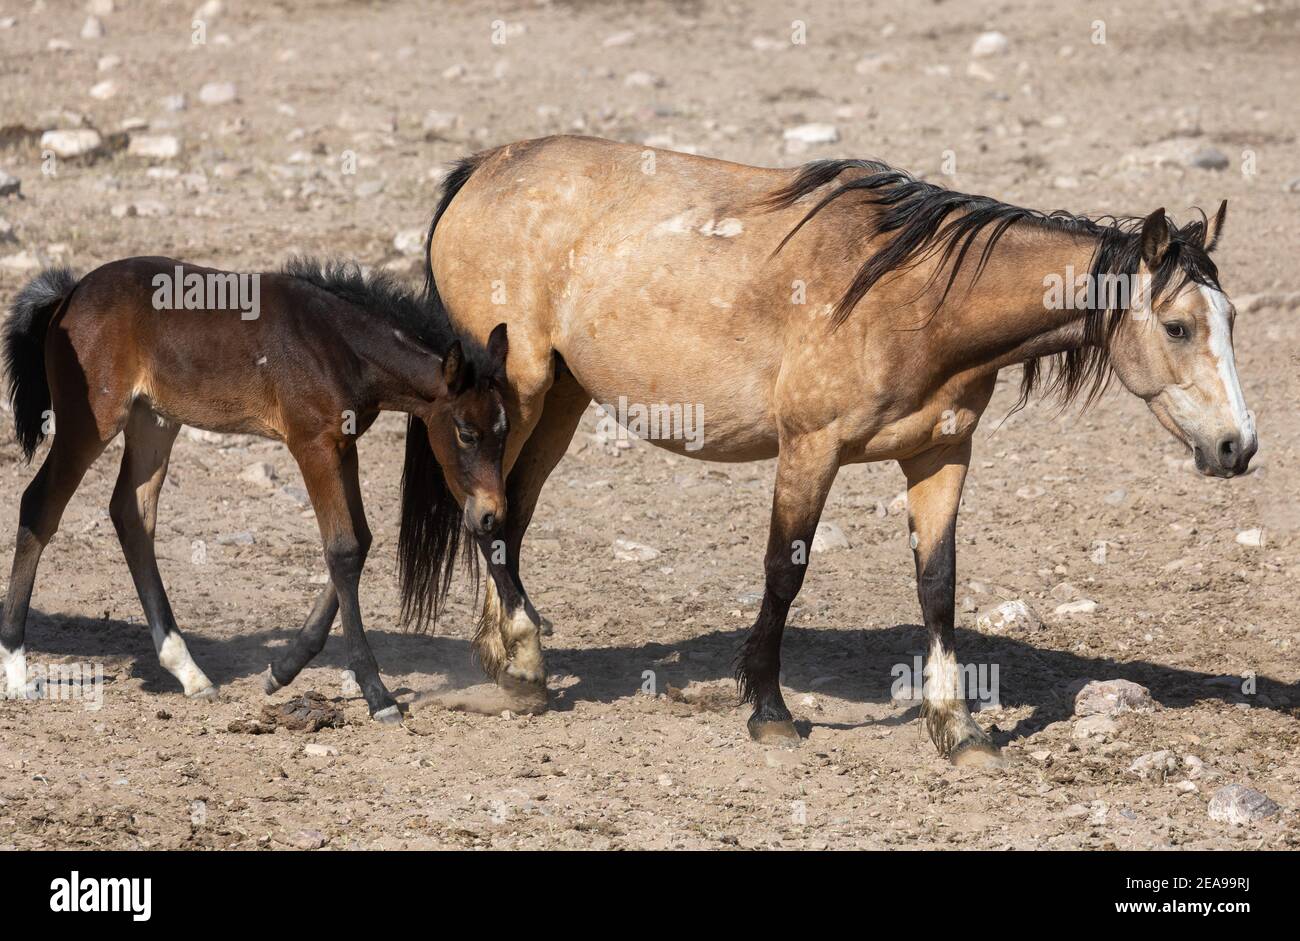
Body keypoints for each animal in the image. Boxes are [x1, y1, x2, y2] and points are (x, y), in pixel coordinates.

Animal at [1, 256, 510, 722]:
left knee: (132, 514)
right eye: (466, 433)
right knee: (40, 505)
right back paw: (17, 669)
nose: (490, 514)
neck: (339, 345)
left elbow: (360, 542)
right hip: (91, 422)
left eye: (504, 431)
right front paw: (377, 693)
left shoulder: (343, 446)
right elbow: (343, 549)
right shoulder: (312, 445)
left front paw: (282, 670)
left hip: (153, 420)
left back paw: (188, 671)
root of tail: (70, 294)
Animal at [417, 135, 1256, 766]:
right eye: (1178, 326)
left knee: (507, 513)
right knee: (484, 509)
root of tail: (483, 168)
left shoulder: (941, 456)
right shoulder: (808, 451)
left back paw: (504, 656)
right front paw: (767, 708)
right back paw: (525, 664)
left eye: (1231, 320)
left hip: (561, 398)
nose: (1238, 446)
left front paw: (958, 728)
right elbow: (784, 571)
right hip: (521, 390)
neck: (915, 300)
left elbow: (939, 586)